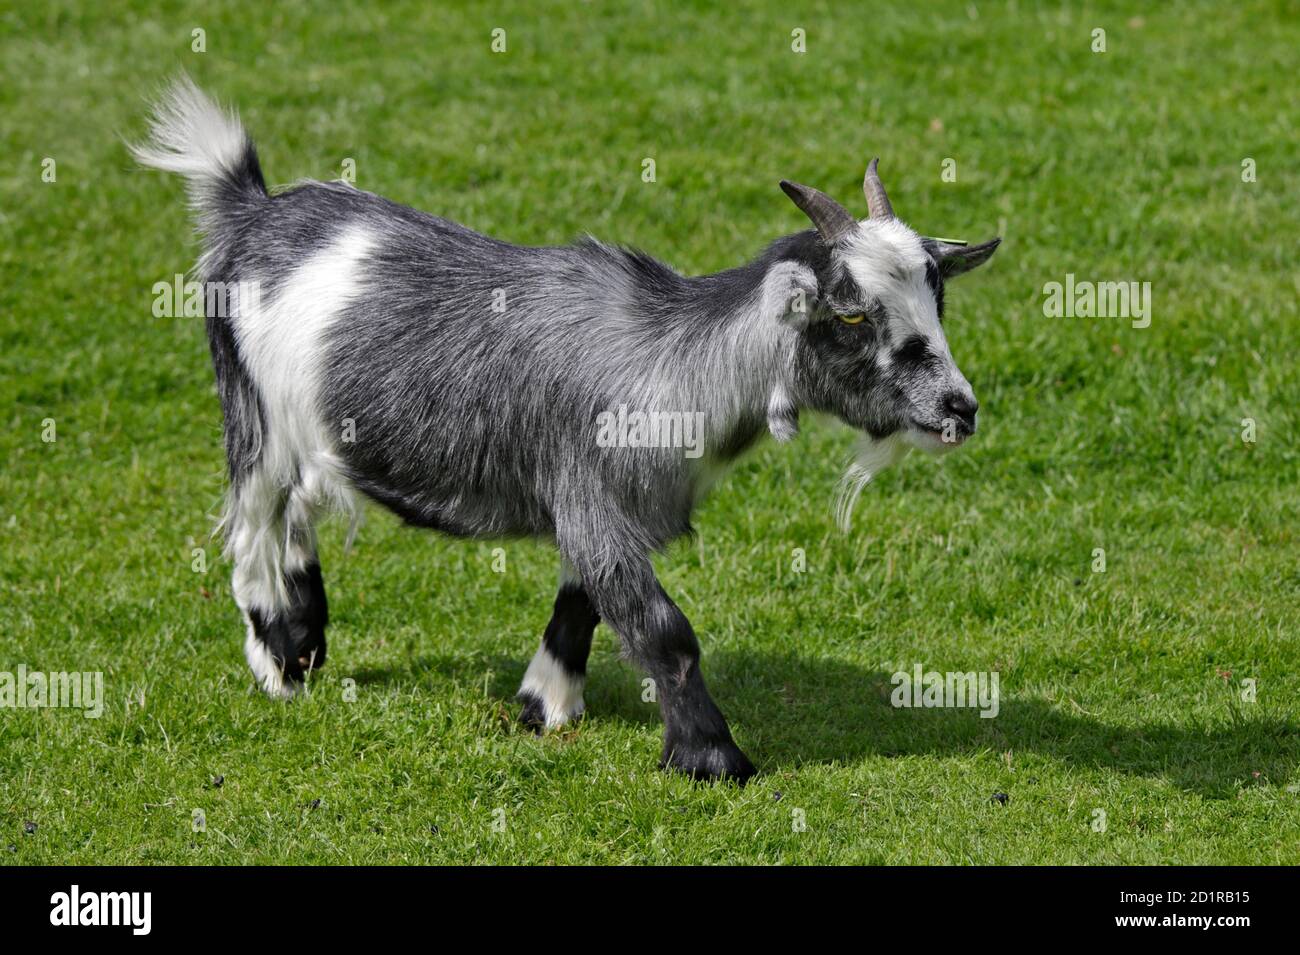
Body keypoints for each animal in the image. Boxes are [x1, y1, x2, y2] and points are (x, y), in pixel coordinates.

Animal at [132, 78, 1000, 782]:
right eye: (851, 313)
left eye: (937, 300)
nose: (959, 407)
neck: (674, 362)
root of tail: (251, 209)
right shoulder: (588, 493)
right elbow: (663, 628)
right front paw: (712, 757)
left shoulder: (613, 506)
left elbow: (584, 602)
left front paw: (542, 704)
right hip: (252, 412)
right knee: (252, 528)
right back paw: (280, 660)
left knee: (299, 513)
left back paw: (308, 634)